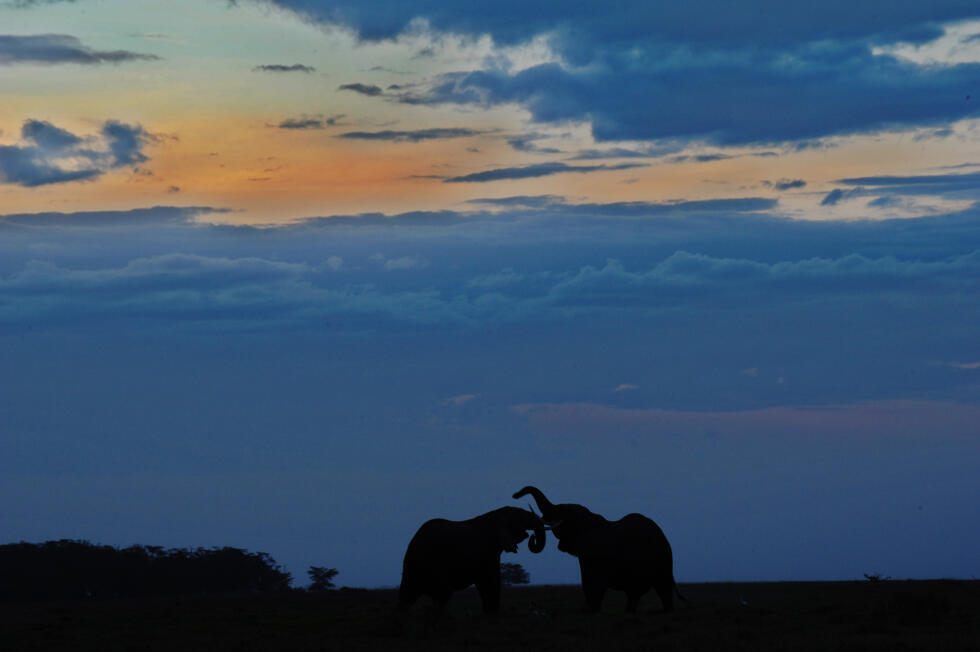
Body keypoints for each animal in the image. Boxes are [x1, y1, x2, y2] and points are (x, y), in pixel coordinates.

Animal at [398, 506, 546, 614]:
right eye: (520, 516)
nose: (533, 536)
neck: (496, 515)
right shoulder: (485, 553)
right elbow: (490, 581)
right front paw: (492, 614)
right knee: (441, 593)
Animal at [513, 486, 682, 613]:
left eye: (560, 512)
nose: (515, 495)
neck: (588, 519)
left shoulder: (598, 554)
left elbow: (596, 585)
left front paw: (594, 612)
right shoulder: (585, 556)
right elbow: (587, 584)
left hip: (663, 561)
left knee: (663, 590)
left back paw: (667, 611)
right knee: (634, 595)